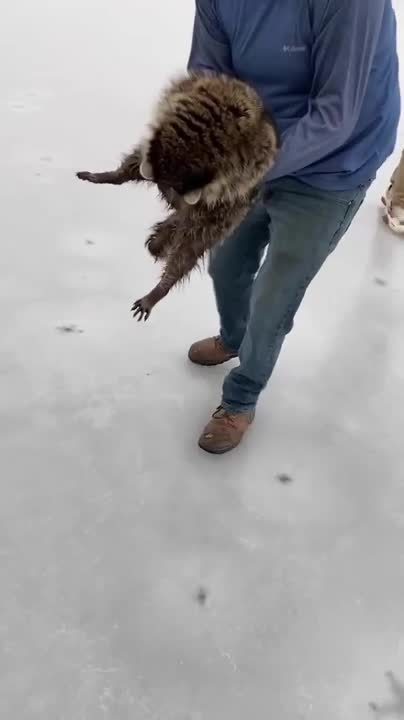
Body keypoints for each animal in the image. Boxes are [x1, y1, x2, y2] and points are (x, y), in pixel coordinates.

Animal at [77, 72, 279, 320]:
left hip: (229, 208)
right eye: (166, 190)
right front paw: (120, 174)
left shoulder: (240, 170)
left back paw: (162, 285)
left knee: (192, 245)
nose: (174, 200)